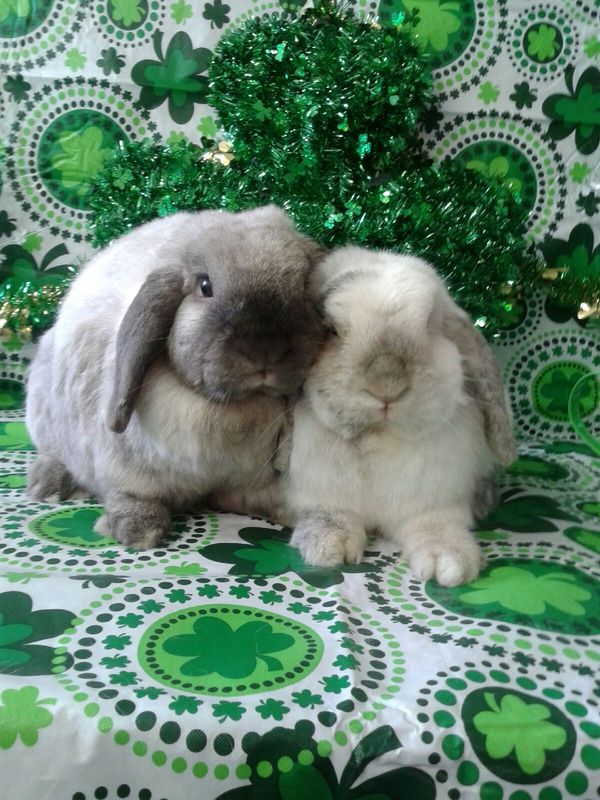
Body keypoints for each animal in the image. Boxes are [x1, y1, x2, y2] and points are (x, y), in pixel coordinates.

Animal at [25, 205, 324, 548]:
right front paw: (138, 530)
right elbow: (130, 493)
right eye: (205, 286)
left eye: (304, 286)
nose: (266, 352)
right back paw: (48, 484)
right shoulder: (125, 467)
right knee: (53, 452)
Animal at [220, 246, 517, 586]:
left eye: (430, 325)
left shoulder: (435, 500)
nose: (387, 382)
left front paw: (450, 561)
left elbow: (435, 524)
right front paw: (329, 546)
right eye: (331, 330)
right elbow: (329, 515)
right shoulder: (320, 494)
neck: (378, 438)